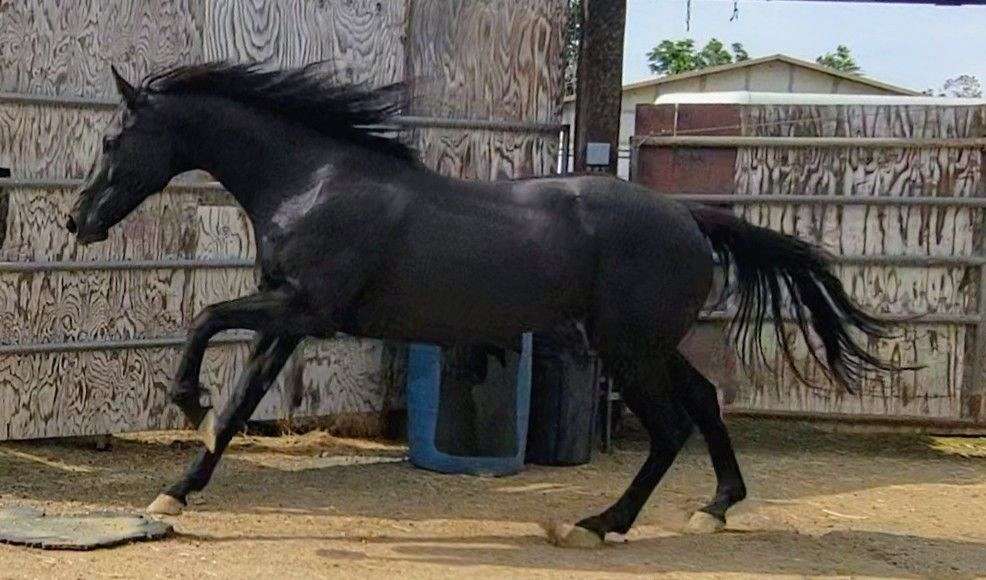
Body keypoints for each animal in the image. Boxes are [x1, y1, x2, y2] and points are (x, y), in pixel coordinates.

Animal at [65, 62, 899, 547]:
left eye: (110, 140)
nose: (78, 221)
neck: (313, 180)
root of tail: (689, 218)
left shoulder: (303, 309)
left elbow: (205, 323)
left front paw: (186, 404)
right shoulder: (289, 316)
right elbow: (240, 404)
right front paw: (174, 495)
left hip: (628, 348)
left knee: (669, 427)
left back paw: (599, 525)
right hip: (650, 344)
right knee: (703, 402)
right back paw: (714, 508)